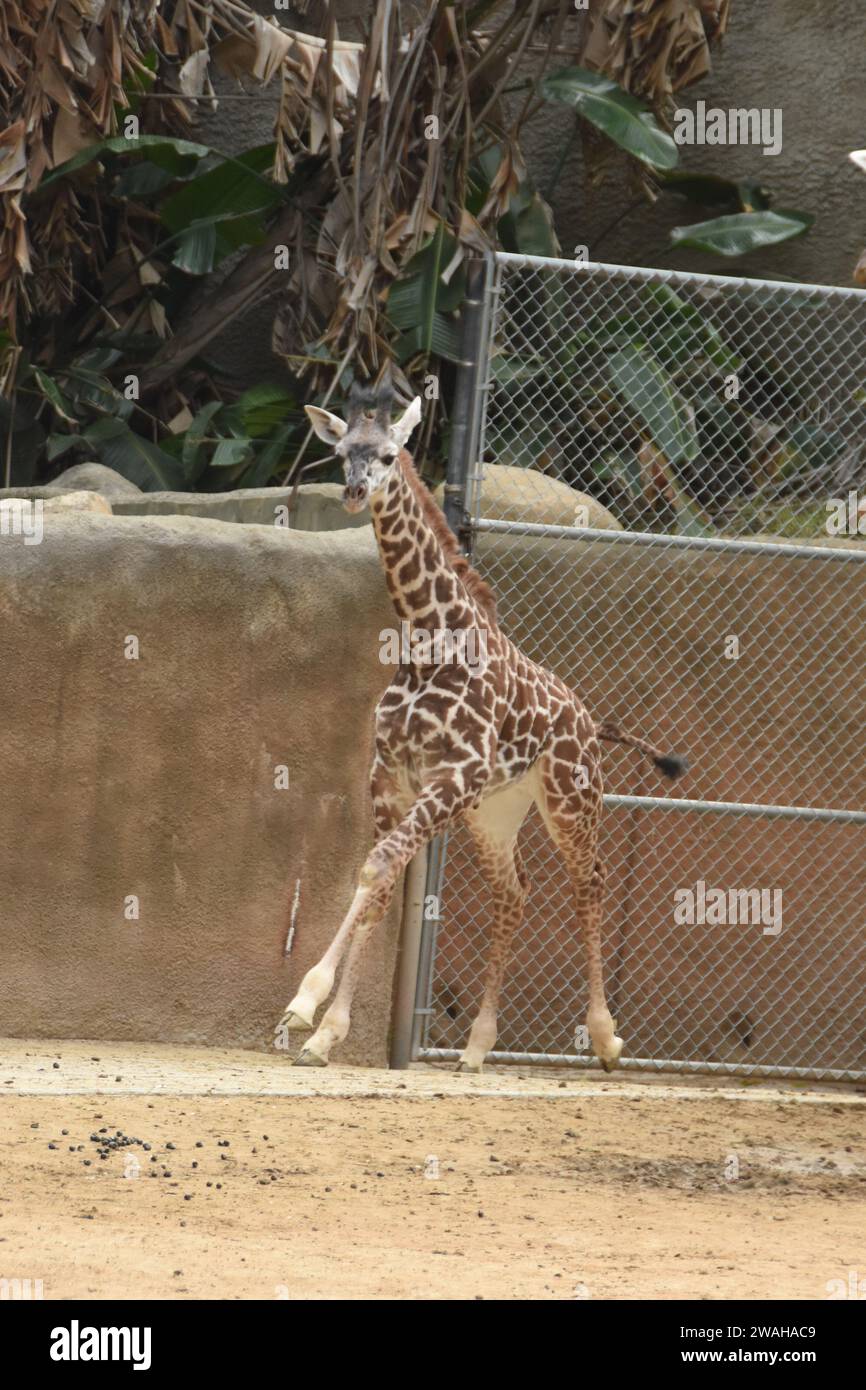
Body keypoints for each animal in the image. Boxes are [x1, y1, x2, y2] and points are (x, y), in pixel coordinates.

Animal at [277, 382, 686, 1072]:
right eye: (342, 453)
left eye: (388, 455)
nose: (355, 491)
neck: (427, 644)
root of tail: (590, 723)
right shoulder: (392, 776)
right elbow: (379, 881)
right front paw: (325, 1032)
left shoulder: (453, 776)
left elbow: (375, 869)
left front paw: (305, 1004)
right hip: (496, 810)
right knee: (515, 891)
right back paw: (475, 1046)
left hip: (570, 800)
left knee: (591, 881)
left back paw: (606, 1038)